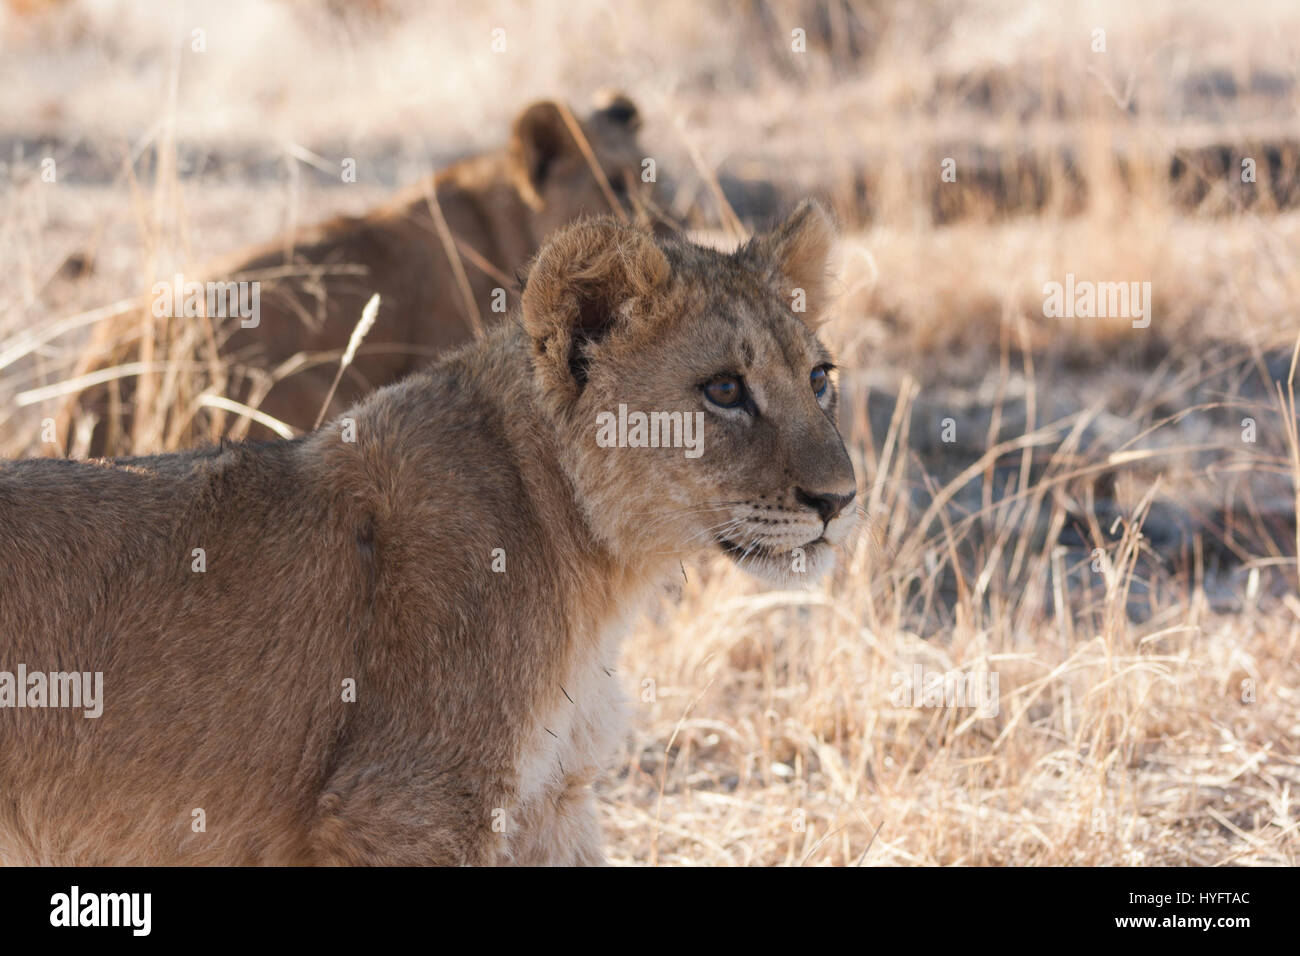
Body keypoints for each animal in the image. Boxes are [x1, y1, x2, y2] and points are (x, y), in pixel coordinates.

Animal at [0, 201, 858, 865]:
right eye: (724, 391)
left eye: (820, 378)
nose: (841, 500)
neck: (594, 568)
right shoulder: (409, 803)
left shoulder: (554, 802)